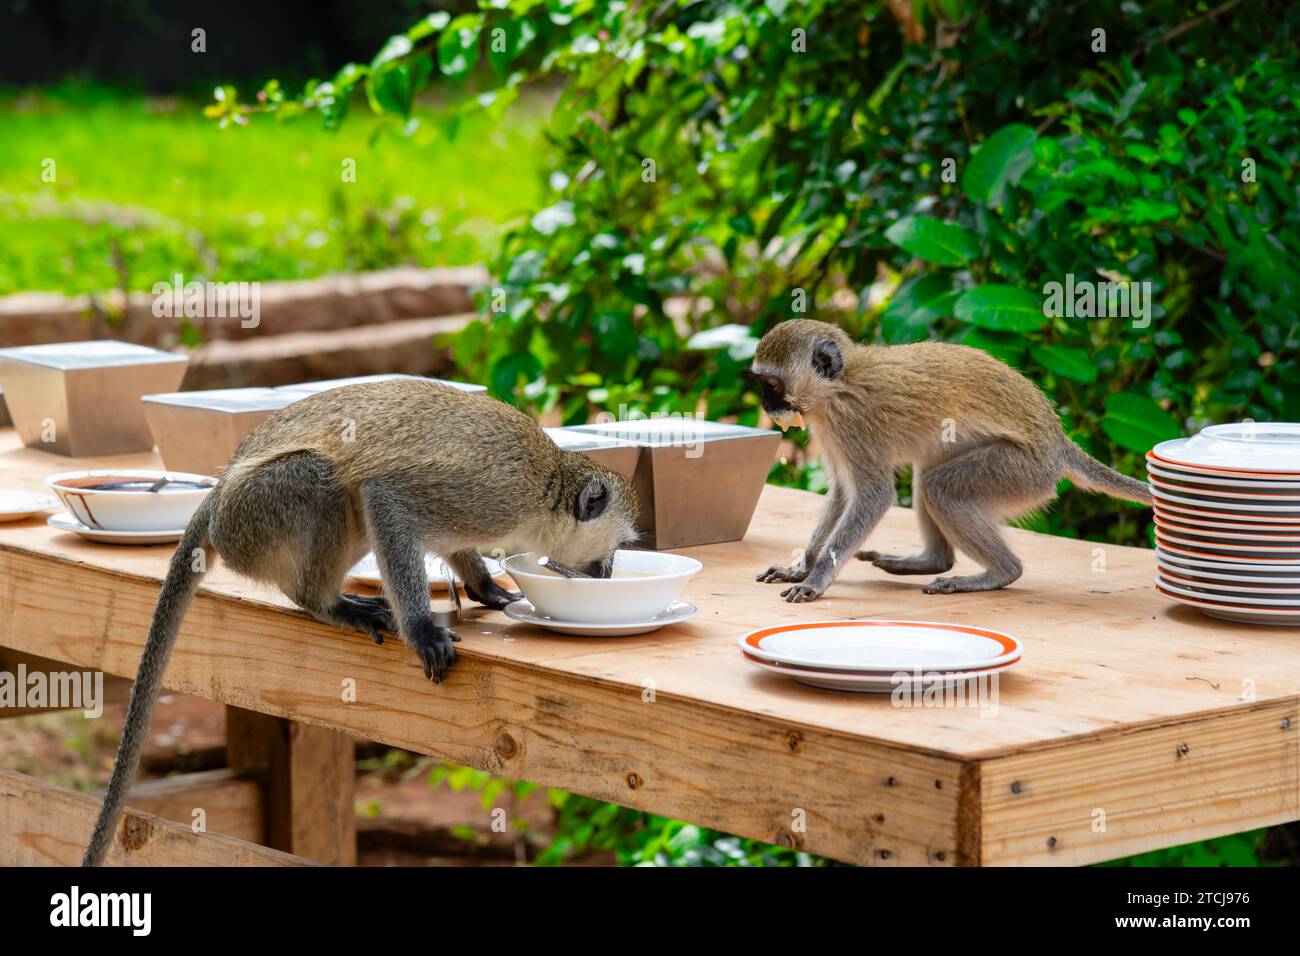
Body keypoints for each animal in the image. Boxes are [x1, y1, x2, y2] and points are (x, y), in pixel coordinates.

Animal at [83, 378, 638, 866]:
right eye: (612, 551)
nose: (606, 574)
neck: (545, 488)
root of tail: (217, 499)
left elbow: (453, 545)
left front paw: (488, 589)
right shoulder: (492, 495)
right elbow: (387, 497)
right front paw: (422, 629)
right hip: (257, 515)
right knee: (323, 481)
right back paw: (326, 602)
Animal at [749, 319, 1152, 603]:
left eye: (772, 385)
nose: (766, 406)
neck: (837, 387)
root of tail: (1058, 443)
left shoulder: (854, 425)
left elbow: (872, 497)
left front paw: (817, 580)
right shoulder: (830, 431)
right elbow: (841, 496)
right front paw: (801, 567)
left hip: (1025, 472)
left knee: (939, 487)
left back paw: (1001, 572)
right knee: (927, 473)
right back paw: (931, 561)